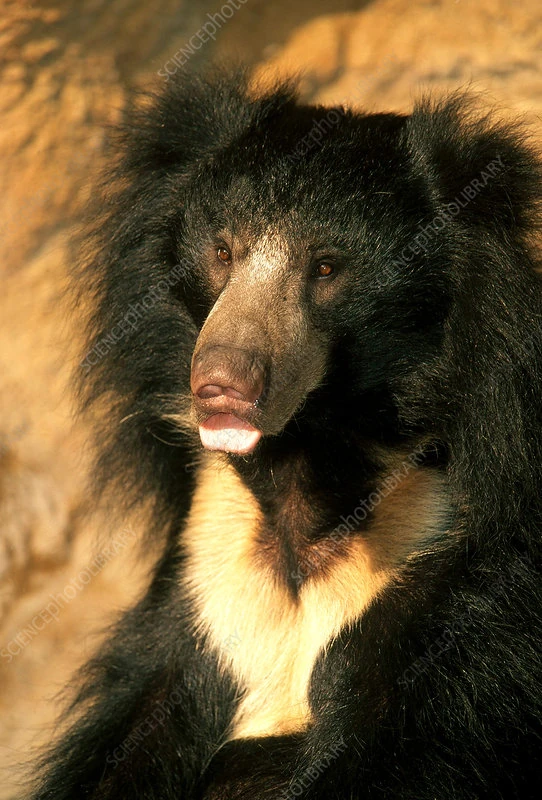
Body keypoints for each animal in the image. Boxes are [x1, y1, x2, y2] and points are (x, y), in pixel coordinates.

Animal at [28, 68, 541, 799]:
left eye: (325, 267)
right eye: (222, 251)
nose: (222, 384)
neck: (305, 470)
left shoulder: (444, 552)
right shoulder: (207, 571)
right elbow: (132, 737)